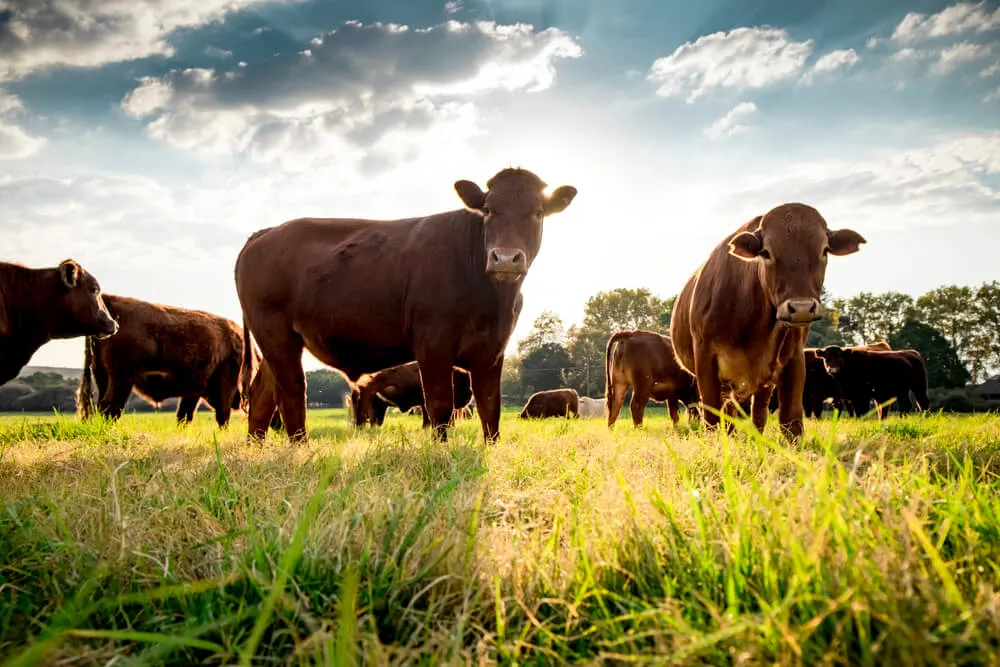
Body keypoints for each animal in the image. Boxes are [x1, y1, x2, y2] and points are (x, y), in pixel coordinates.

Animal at [77, 295, 248, 427]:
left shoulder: (193, 391)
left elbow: (184, 416)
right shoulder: (225, 386)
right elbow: (222, 416)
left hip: (102, 376)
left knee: (102, 406)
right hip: (121, 379)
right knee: (111, 406)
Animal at [235, 167, 577, 443]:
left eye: (538, 212)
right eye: (488, 210)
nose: (505, 258)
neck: (494, 301)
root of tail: (265, 233)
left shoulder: (493, 350)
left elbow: (490, 409)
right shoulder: (433, 344)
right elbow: (439, 406)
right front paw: (441, 452)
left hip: (277, 342)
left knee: (264, 395)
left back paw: (257, 448)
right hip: (276, 335)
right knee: (291, 392)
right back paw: (300, 449)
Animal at [670, 204, 865, 441]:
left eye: (824, 250)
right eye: (766, 252)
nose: (801, 308)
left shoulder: (793, 360)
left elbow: (791, 421)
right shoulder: (705, 359)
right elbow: (712, 418)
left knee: (758, 412)